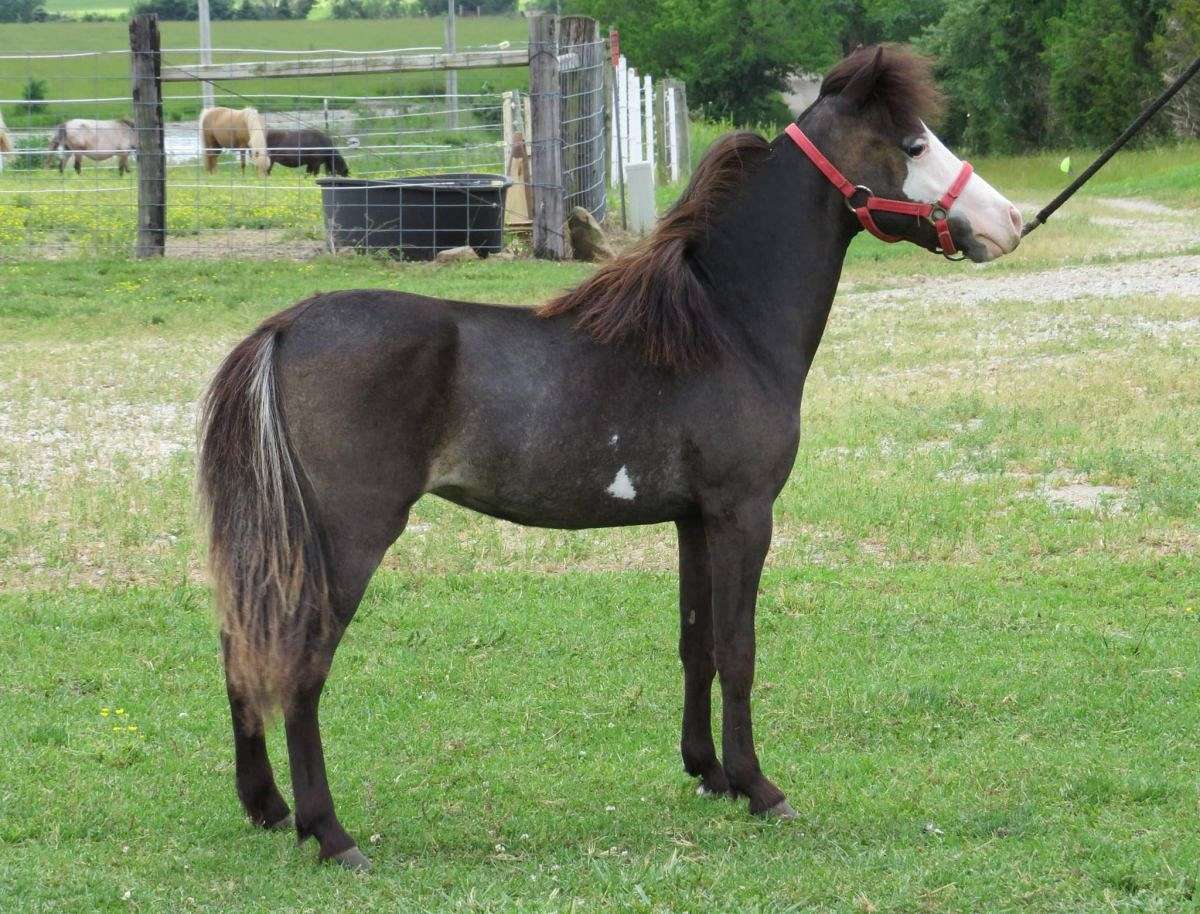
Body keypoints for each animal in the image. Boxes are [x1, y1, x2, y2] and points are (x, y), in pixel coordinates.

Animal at [198, 45, 1023, 871]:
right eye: (913, 144)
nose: (1009, 222)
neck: (726, 325)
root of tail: (286, 326)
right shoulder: (743, 514)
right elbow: (739, 648)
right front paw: (760, 788)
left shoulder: (694, 521)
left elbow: (697, 645)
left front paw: (709, 772)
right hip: (347, 542)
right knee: (300, 663)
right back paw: (330, 834)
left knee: (242, 645)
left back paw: (266, 807)